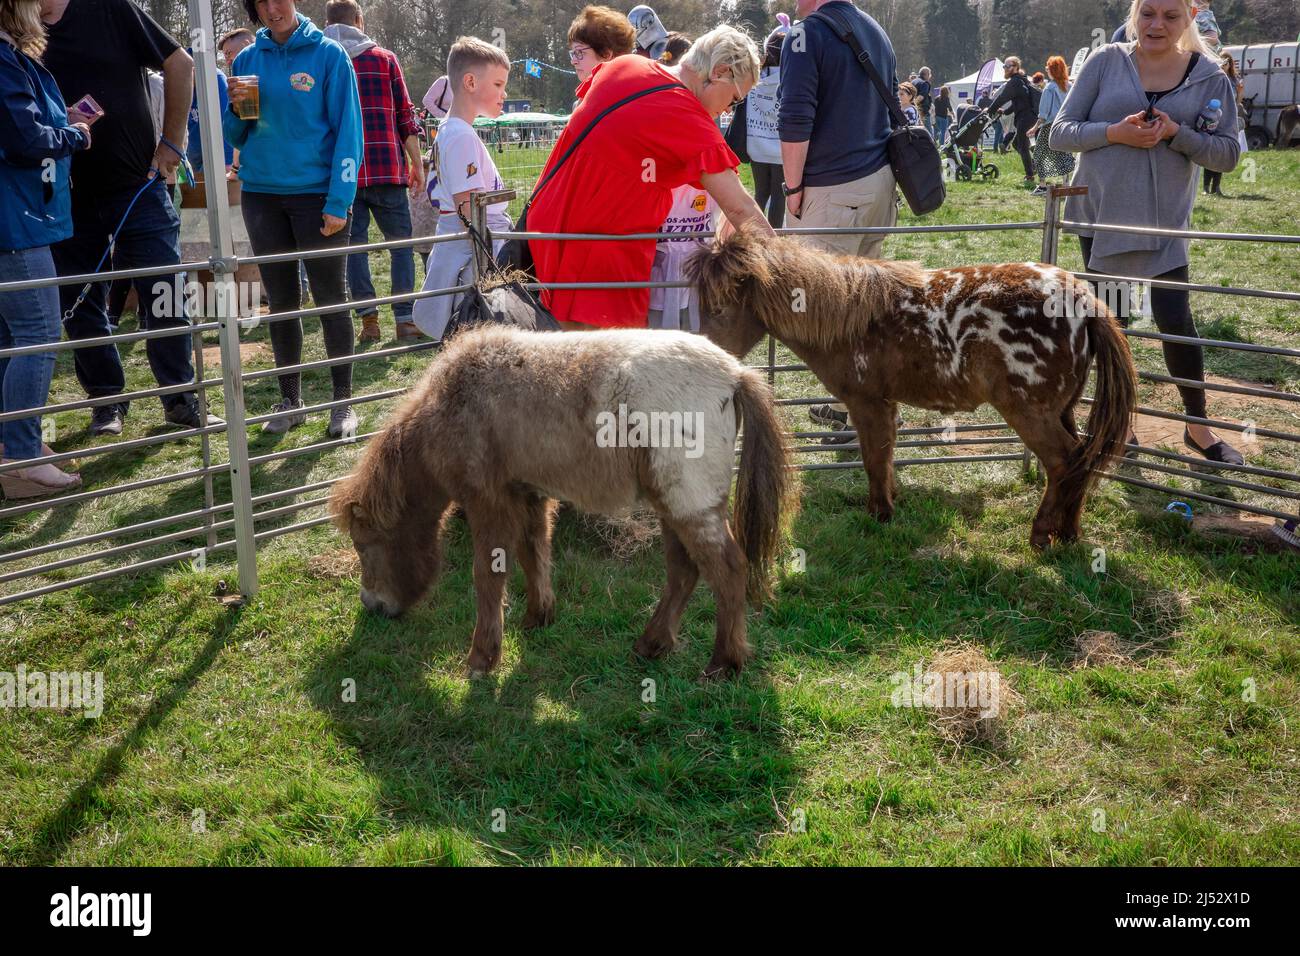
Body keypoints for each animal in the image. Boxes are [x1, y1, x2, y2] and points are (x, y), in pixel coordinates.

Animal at [329, 325, 795, 679]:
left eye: (363, 546)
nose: (371, 605)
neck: (455, 401)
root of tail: (735, 373)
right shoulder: (527, 494)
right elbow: (533, 553)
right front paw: (538, 617)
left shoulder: (488, 503)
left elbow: (488, 576)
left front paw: (482, 658)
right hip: (672, 505)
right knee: (684, 572)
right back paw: (652, 644)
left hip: (689, 505)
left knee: (728, 571)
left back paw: (723, 664)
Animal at [688, 230, 1137, 550]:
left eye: (720, 307)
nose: (703, 349)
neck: (852, 319)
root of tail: (1083, 300)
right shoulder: (884, 405)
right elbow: (885, 459)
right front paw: (890, 503)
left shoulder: (866, 403)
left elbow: (873, 459)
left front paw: (879, 513)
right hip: (1062, 409)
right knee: (1082, 459)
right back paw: (1070, 531)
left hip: (1031, 413)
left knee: (1063, 462)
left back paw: (1042, 533)